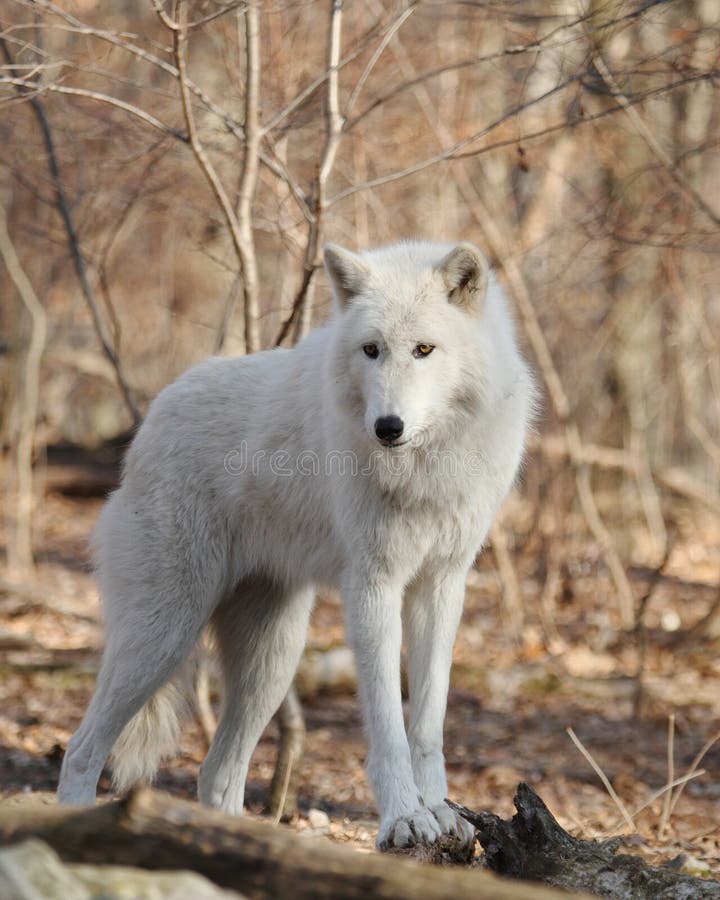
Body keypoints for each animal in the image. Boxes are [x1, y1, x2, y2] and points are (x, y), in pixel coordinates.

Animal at [57, 240, 534, 849]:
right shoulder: (373, 586)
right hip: (164, 634)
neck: (427, 466)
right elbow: (388, 725)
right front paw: (404, 819)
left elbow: (427, 722)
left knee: (216, 774)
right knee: (80, 749)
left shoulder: (442, 584)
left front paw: (439, 810)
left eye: (424, 349)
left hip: (273, 660)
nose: (387, 426)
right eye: (371, 350)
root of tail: (149, 421)